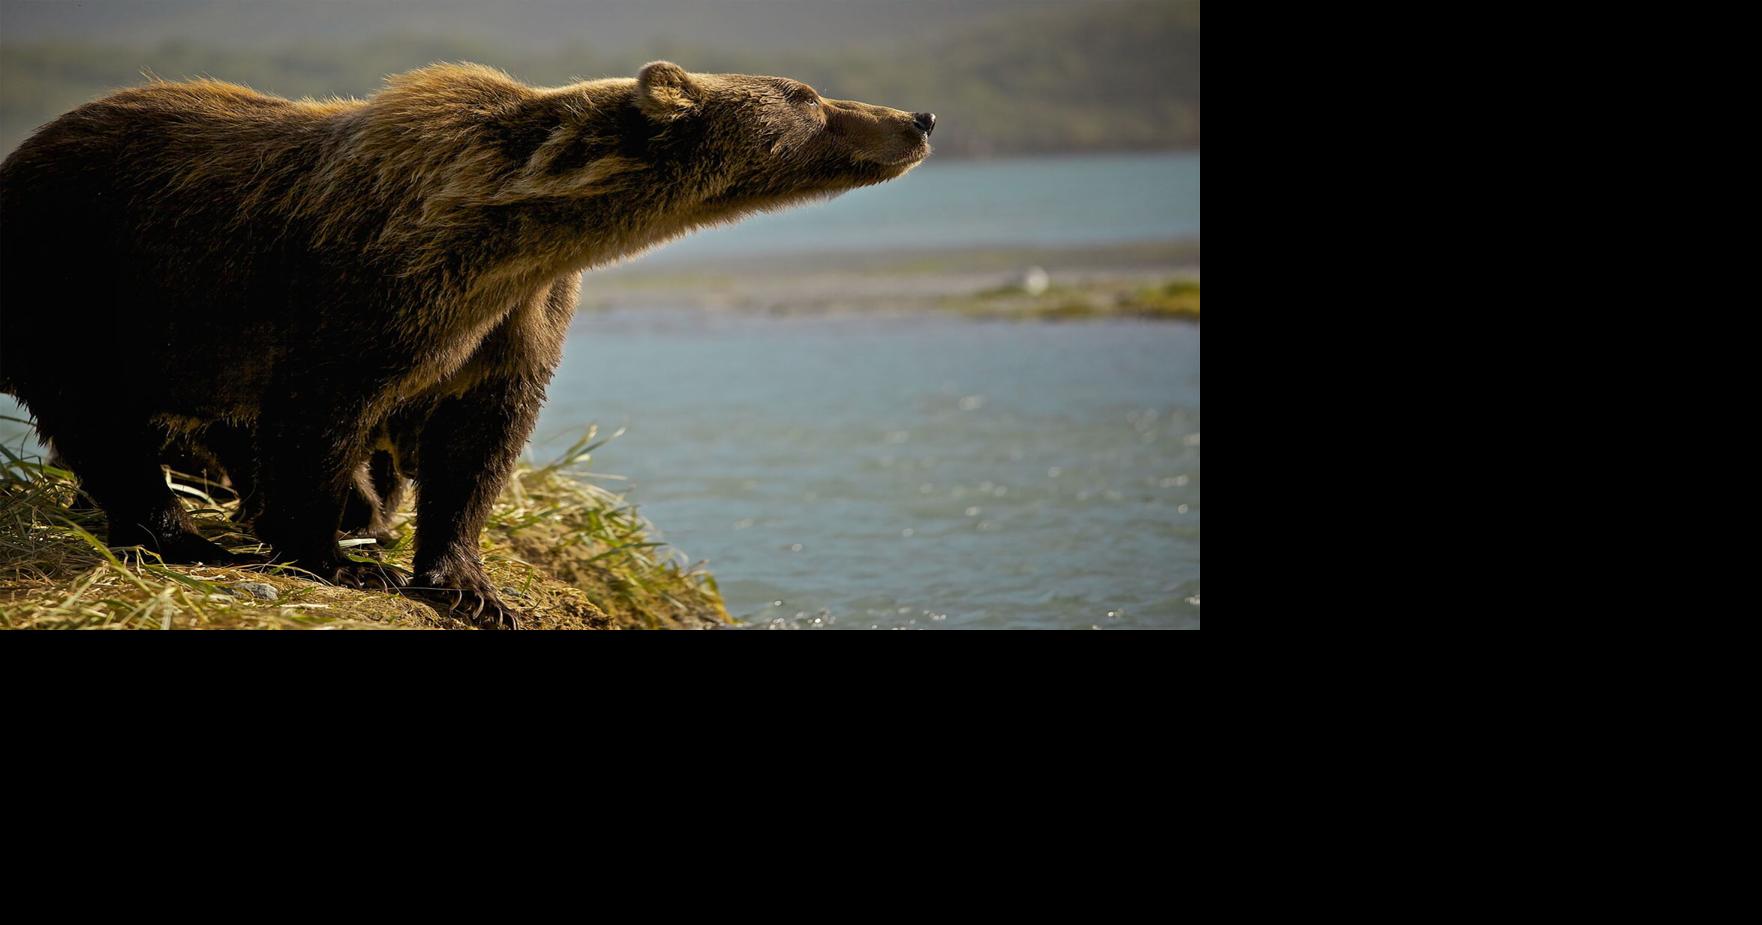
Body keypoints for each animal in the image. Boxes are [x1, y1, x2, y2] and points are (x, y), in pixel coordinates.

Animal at [0, 61, 935, 627]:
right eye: (805, 94)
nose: (917, 116)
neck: (516, 231)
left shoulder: (514, 316)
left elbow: (479, 442)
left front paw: (467, 583)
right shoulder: (366, 289)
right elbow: (320, 416)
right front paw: (336, 556)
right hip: (83, 279)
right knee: (101, 418)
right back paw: (182, 532)